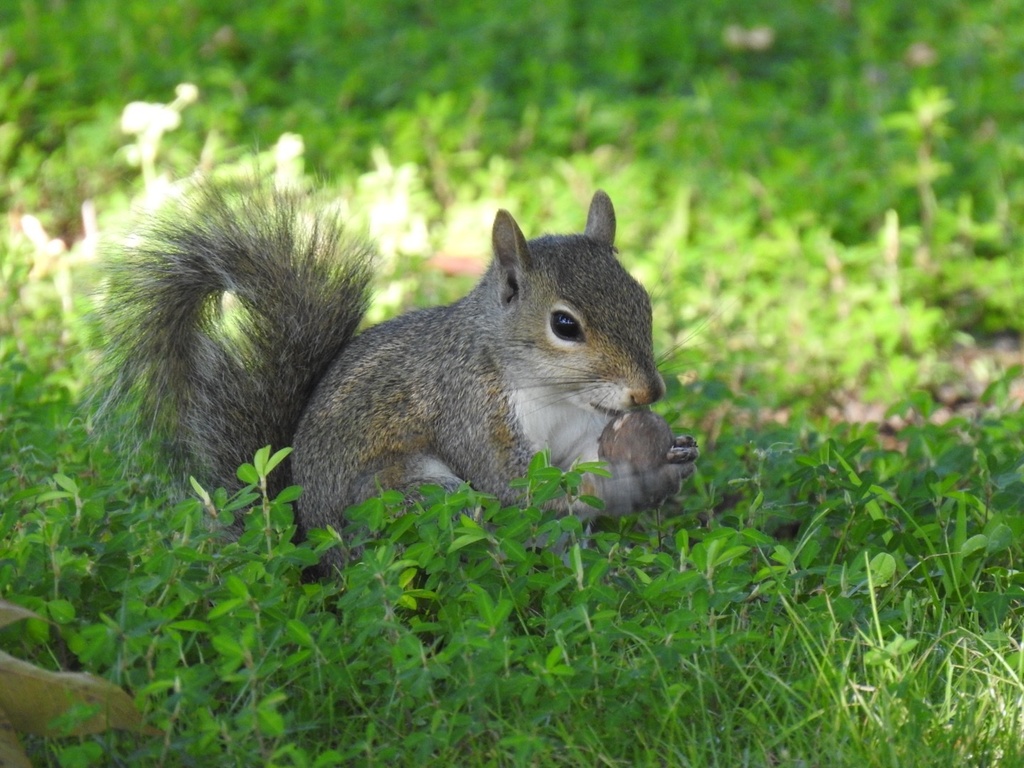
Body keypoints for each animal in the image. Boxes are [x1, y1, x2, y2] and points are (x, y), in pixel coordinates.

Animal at [98, 178, 698, 576]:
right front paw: (631, 473)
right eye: (565, 325)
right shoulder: (471, 409)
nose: (650, 391)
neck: (557, 395)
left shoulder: (578, 433)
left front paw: (676, 454)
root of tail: (314, 554)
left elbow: (582, 466)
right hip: (411, 496)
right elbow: (515, 482)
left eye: (643, 299)